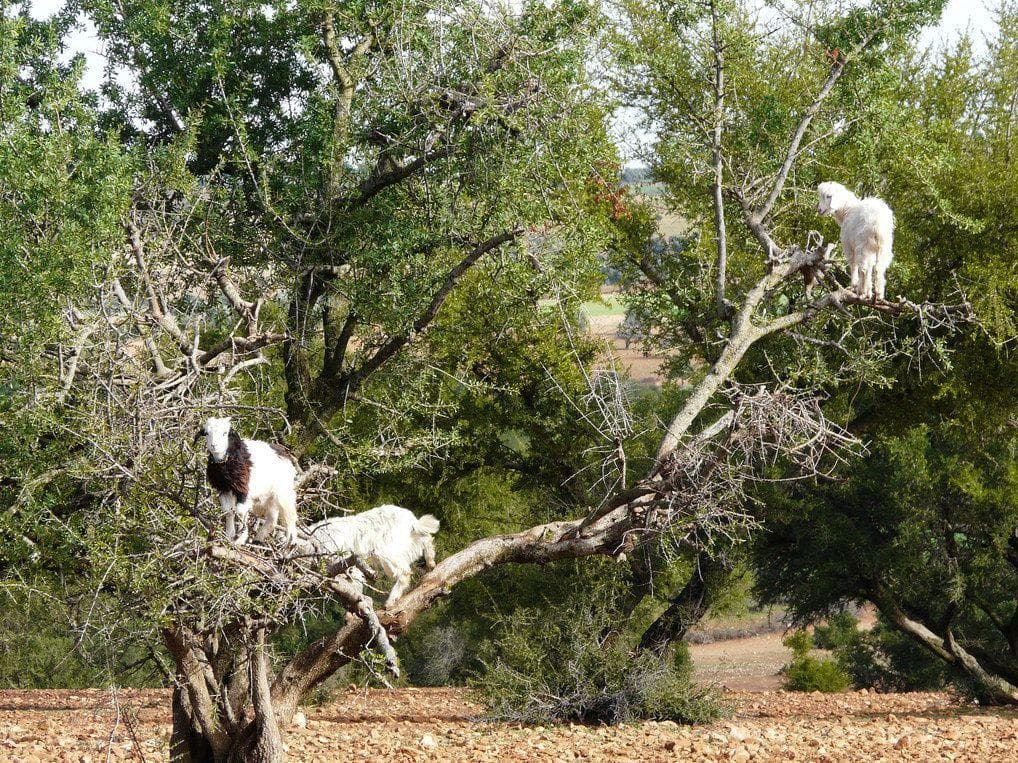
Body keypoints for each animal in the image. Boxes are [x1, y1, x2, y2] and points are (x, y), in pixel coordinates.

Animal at [198, 417, 298, 546]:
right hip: (269, 496)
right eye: (206, 433)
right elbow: (228, 511)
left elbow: (240, 512)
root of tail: (286, 454)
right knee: (272, 518)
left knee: (290, 514)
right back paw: (258, 539)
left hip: (283, 491)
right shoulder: (224, 489)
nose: (214, 445)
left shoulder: (244, 490)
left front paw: (240, 539)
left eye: (225, 433)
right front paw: (229, 536)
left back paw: (290, 542)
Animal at [303, 505, 440, 607]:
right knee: (426, 538)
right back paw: (431, 563)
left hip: (387, 551)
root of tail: (411, 520)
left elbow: (355, 583)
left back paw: (390, 601)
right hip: (408, 543)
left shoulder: (346, 561)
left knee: (404, 572)